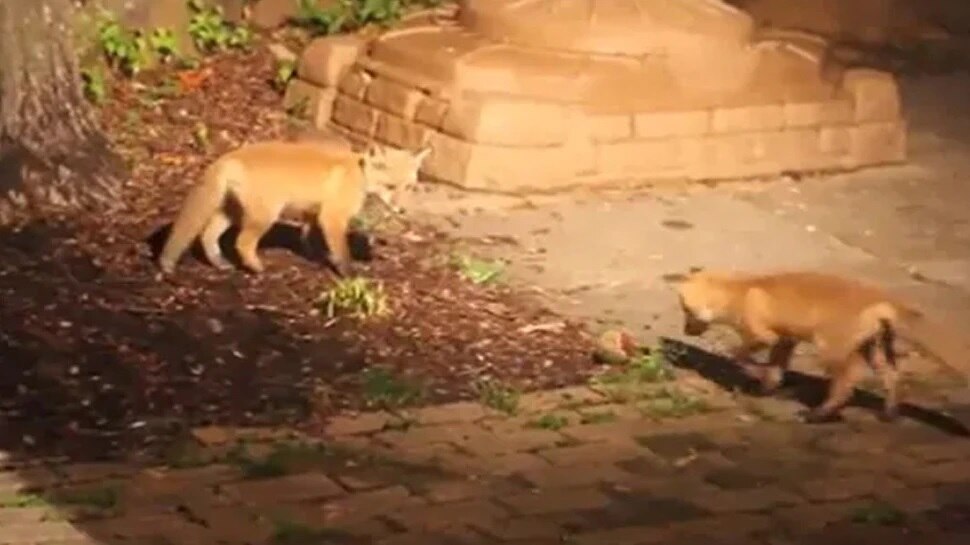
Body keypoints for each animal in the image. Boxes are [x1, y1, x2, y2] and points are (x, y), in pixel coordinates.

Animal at [156, 140, 431, 276]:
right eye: (390, 186)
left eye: (409, 187)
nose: (402, 210)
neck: (358, 173)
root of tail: (229, 156)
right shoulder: (333, 217)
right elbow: (342, 251)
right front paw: (348, 274)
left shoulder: (313, 212)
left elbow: (307, 235)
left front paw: (313, 254)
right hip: (264, 216)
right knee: (242, 242)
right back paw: (255, 268)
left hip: (231, 212)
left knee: (207, 235)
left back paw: (219, 263)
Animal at [675, 269, 967, 423]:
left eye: (686, 312)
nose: (685, 330)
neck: (742, 292)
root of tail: (880, 297)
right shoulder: (785, 340)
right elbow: (774, 370)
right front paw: (767, 389)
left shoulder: (763, 336)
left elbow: (739, 356)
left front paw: (752, 377)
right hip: (874, 350)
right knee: (893, 377)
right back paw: (889, 413)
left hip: (830, 351)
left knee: (847, 384)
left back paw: (819, 414)